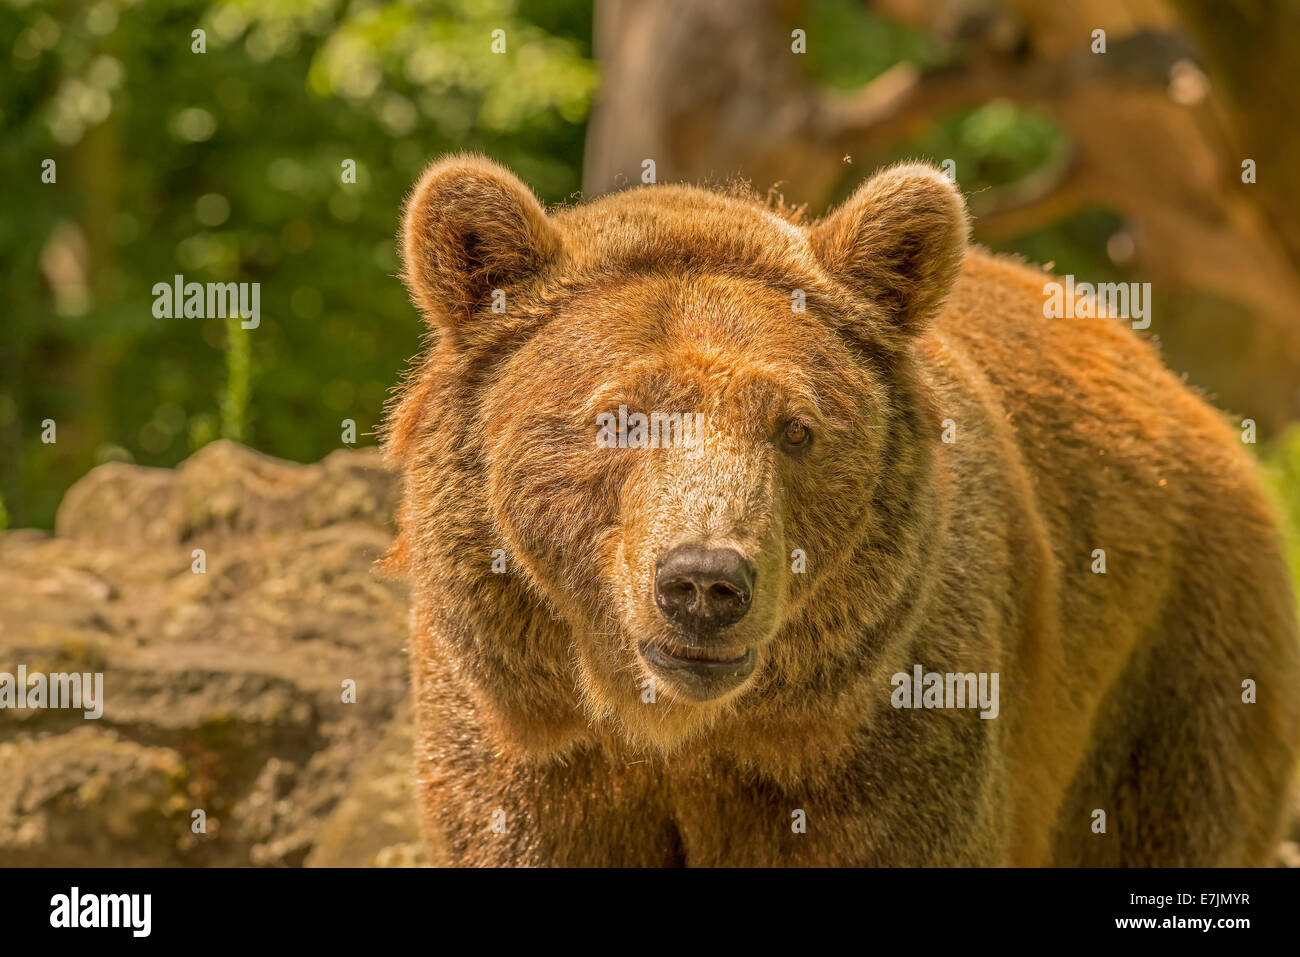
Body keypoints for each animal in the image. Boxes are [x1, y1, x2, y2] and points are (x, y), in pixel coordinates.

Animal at [383, 153, 1300, 866]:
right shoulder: (527, 738)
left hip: (1174, 664)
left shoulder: (881, 744)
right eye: (617, 418)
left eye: (796, 428)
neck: (677, 735)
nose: (705, 583)